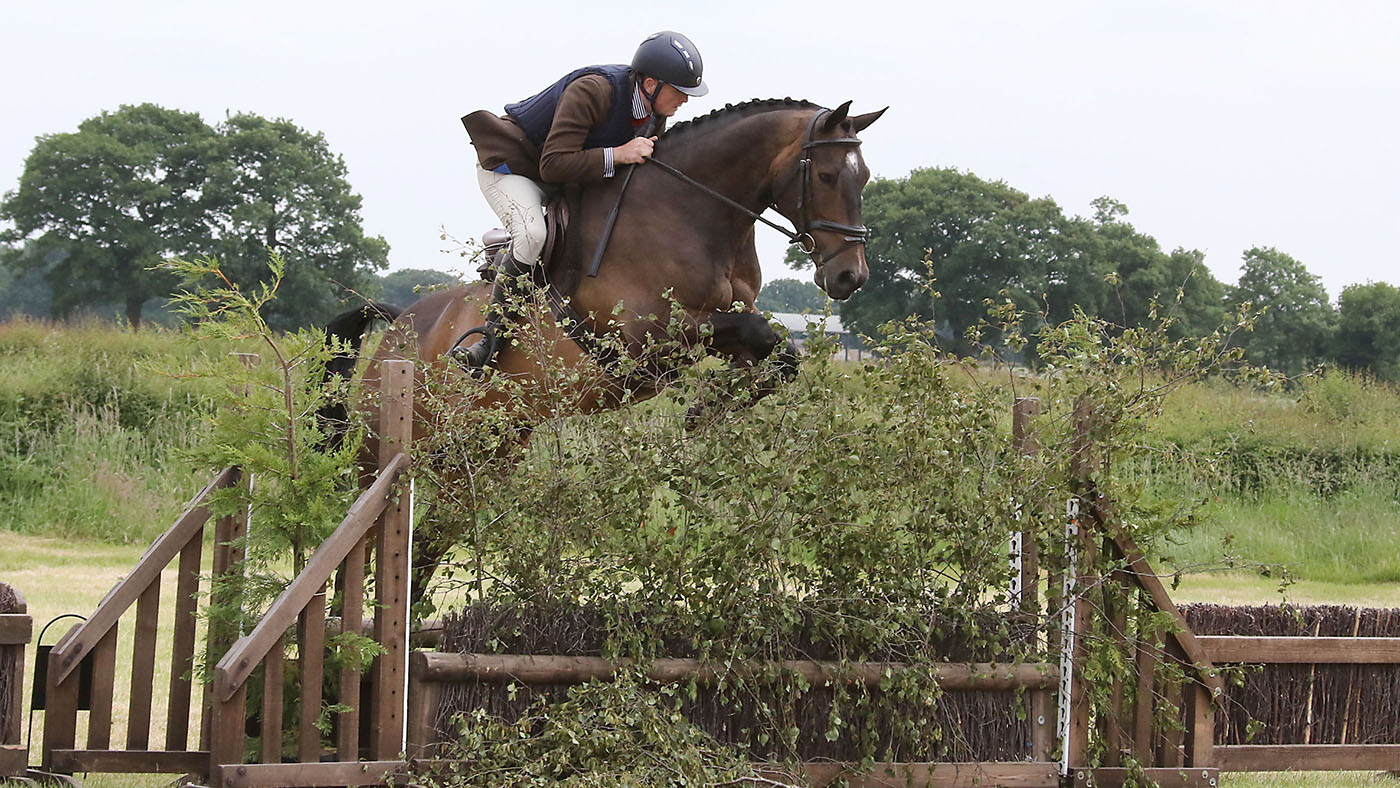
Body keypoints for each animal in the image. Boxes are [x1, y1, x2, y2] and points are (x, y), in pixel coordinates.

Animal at [328, 98, 884, 599]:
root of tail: (398, 325)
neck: (692, 212)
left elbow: (779, 354)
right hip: (385, 454)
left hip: (487, 453)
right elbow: (756, 334)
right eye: (828, 176)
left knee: (424, 547)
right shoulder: (642, 341)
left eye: (864, 179)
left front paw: (708, 409)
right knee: (360, 544)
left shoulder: (717, 336)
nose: (850, 277)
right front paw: (702, 411)